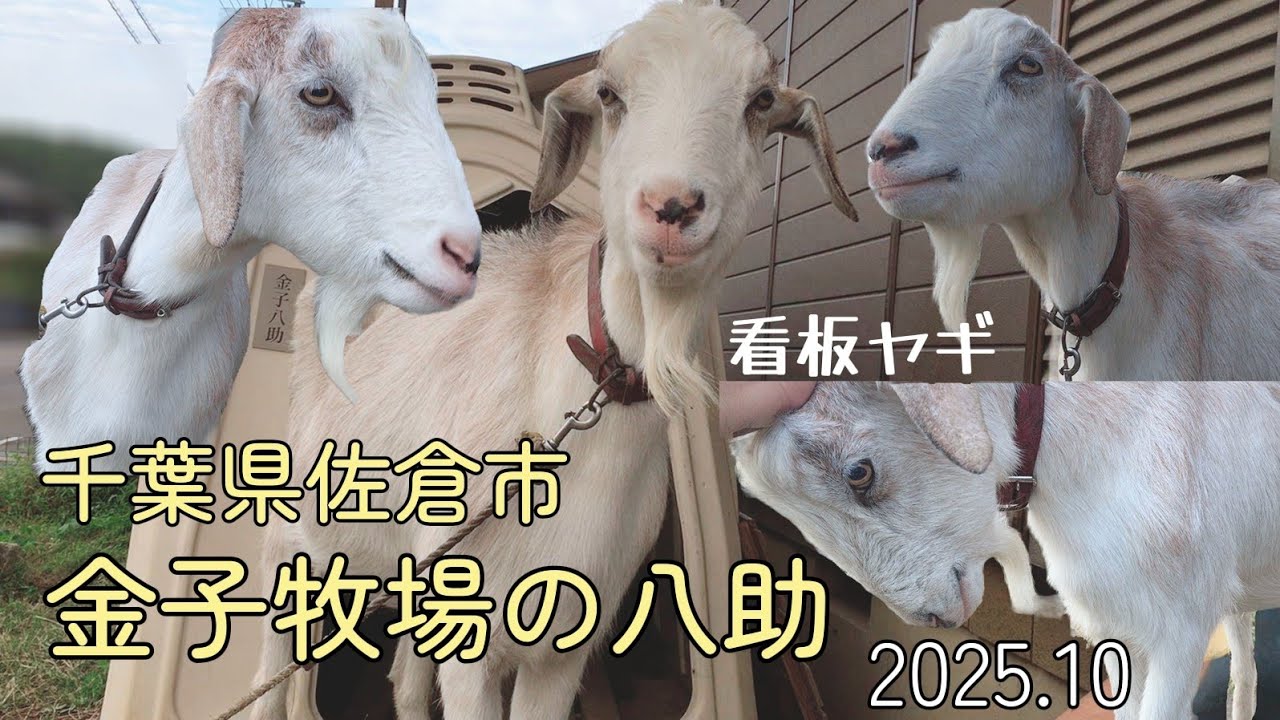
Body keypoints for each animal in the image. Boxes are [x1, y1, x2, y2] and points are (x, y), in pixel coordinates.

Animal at [251, 1, 856, 718]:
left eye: (760, 101)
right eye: (610, 94)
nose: (671, 206)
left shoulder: (560, 649)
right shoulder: (473, 639)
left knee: (404, 675)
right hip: (294, 530)